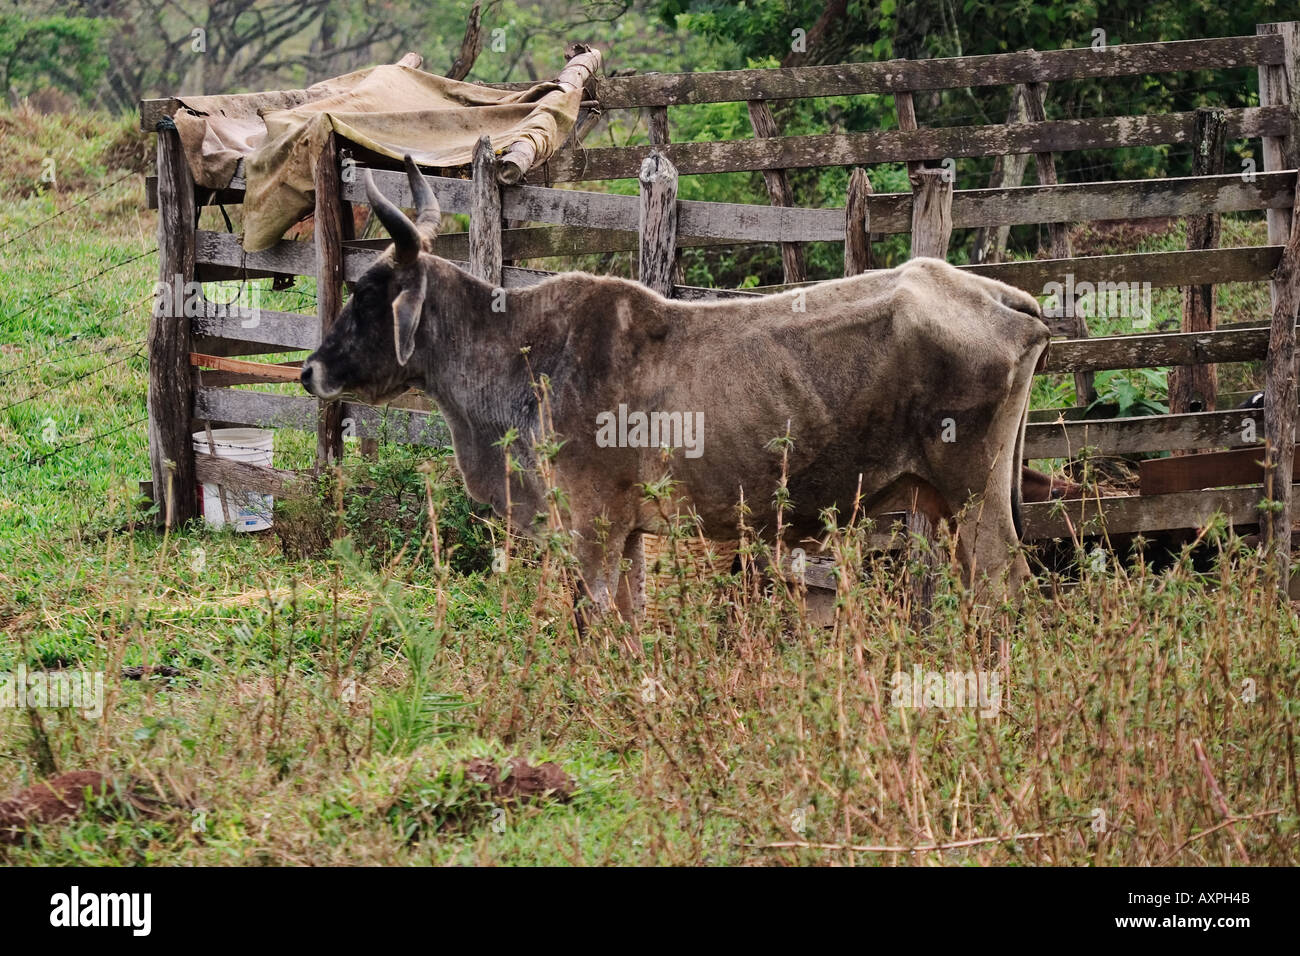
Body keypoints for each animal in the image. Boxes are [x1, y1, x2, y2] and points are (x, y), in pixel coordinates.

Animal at [300, 157, 1052, 619]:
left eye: (368, 293)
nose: (310, 370)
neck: (524, 354)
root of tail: (999, 295)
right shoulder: (628, 531)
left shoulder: (592, 524)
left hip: (975, 494)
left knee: (1008, 587)